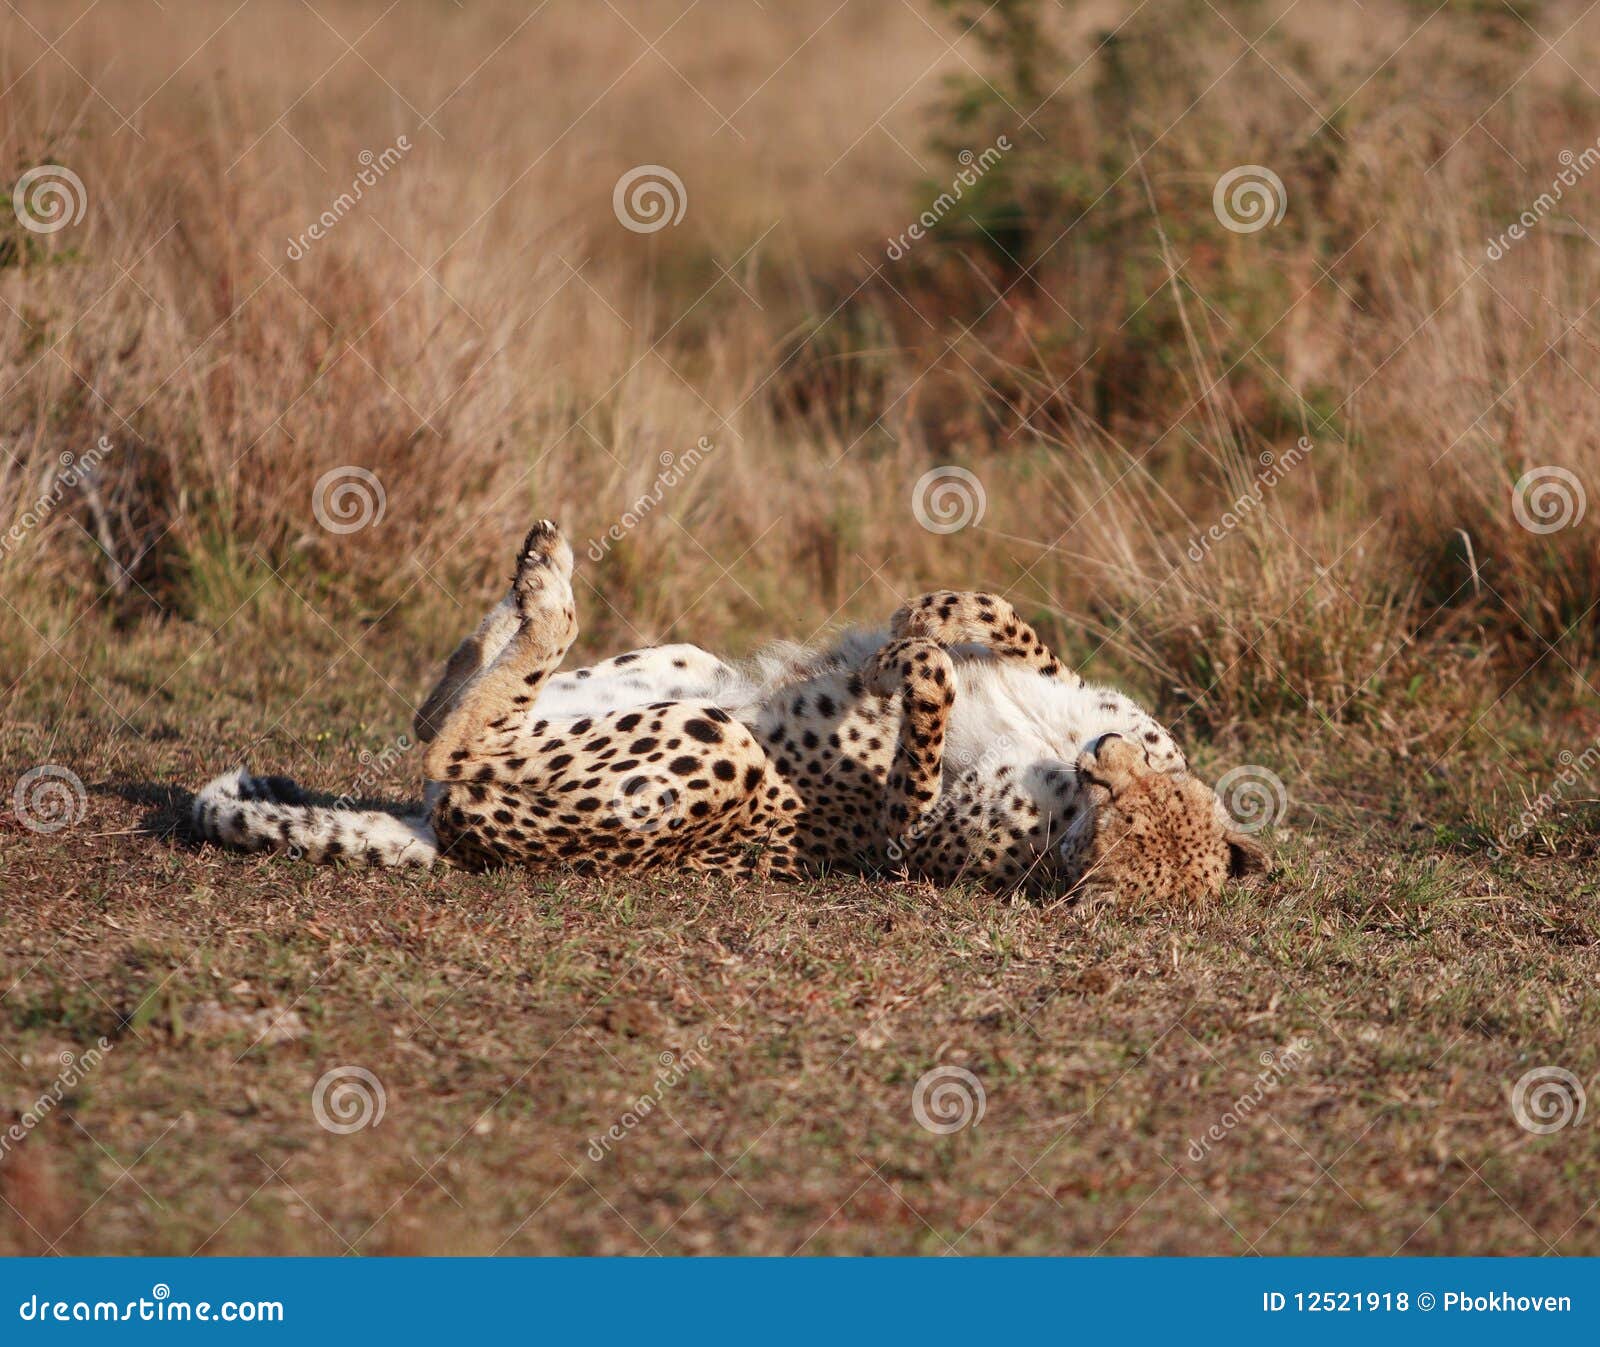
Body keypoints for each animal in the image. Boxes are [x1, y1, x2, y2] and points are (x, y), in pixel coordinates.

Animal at [192, 520, 1268, 903]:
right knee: (438, 722)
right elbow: (997, 618)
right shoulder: (1069, 687)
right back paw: (529, 578)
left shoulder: (901, 835)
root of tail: (451, 843)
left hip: (709, 748)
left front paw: (904, 660)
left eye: (1119, 817)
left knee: (455, 748)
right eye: (1133, 791)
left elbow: (919, 727)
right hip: (685, 665)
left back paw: (546, 591)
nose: (1101, 757)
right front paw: (920, 621)